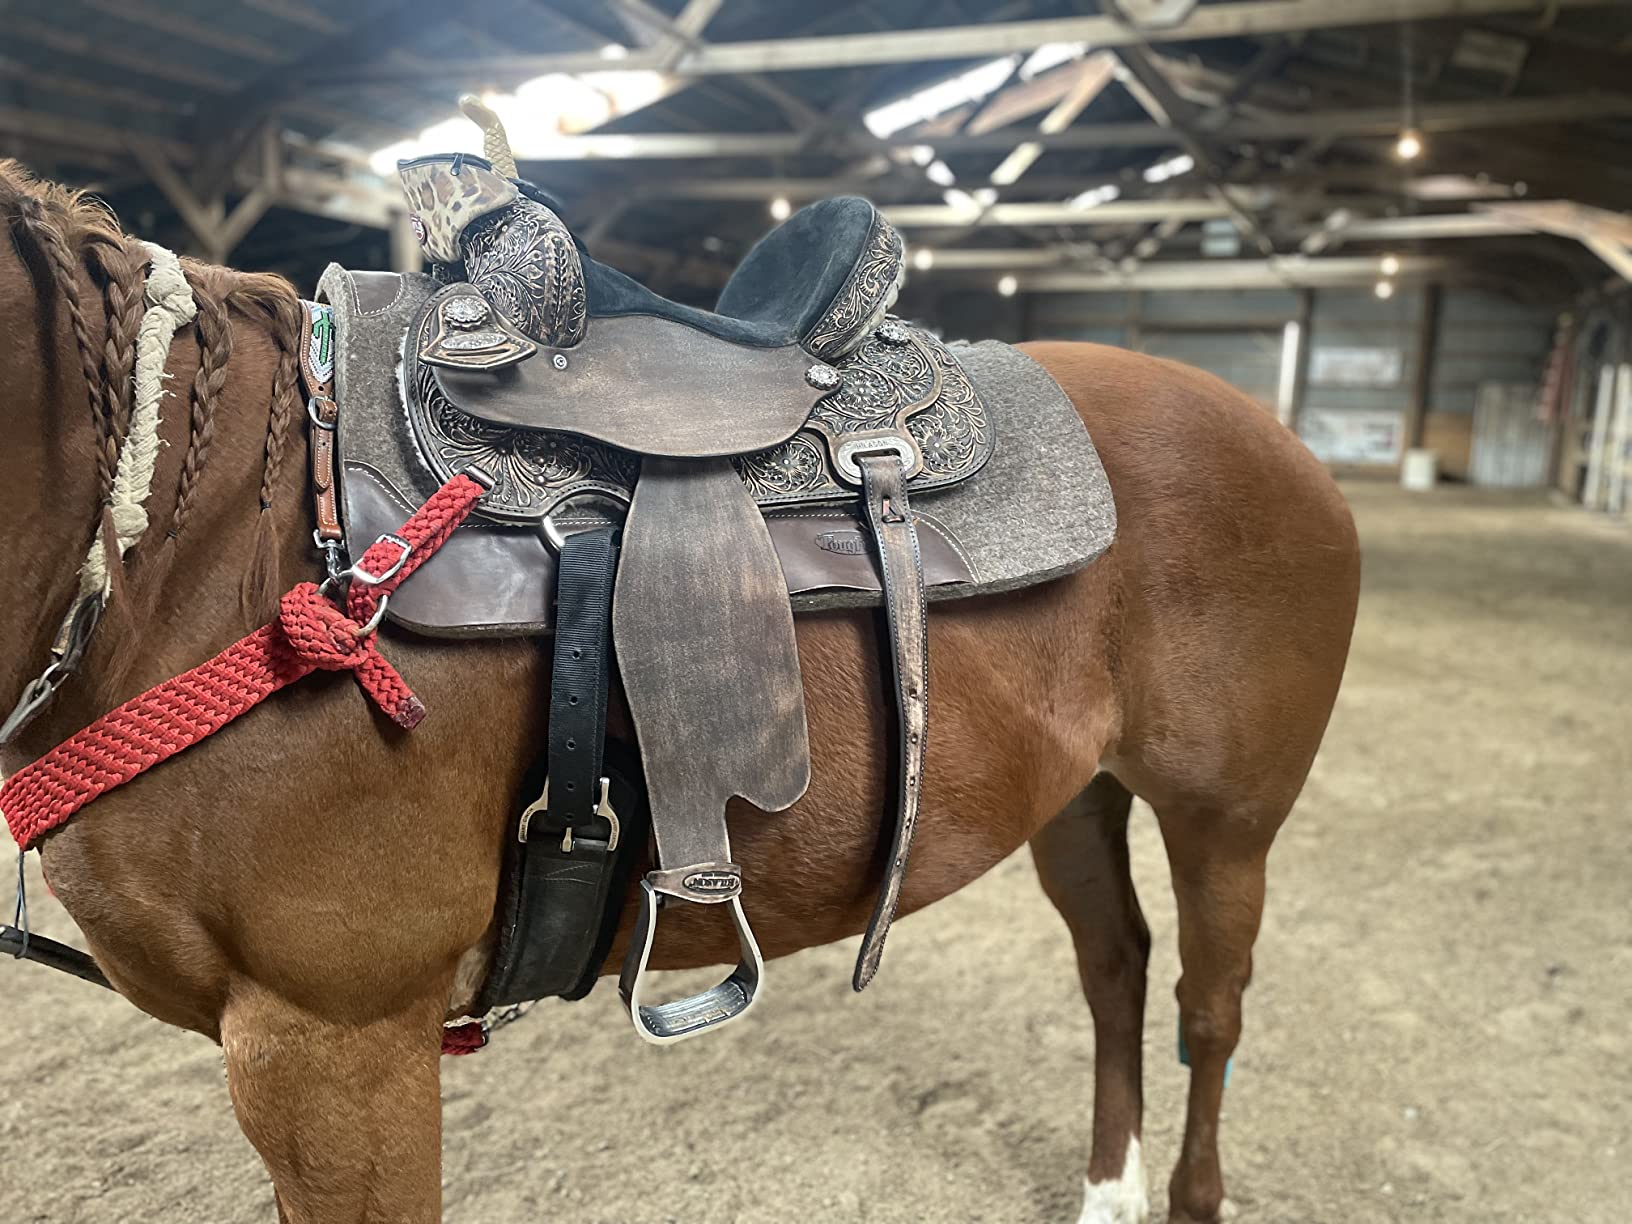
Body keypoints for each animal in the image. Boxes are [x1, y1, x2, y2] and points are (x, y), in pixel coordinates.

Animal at [0, 161, 1359, 1224]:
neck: (202, 557)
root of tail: (1271, 430)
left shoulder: (333, 1048)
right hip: (1076, 795)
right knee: (1115, 970)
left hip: (1228, 818)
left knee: (1208, 1008)